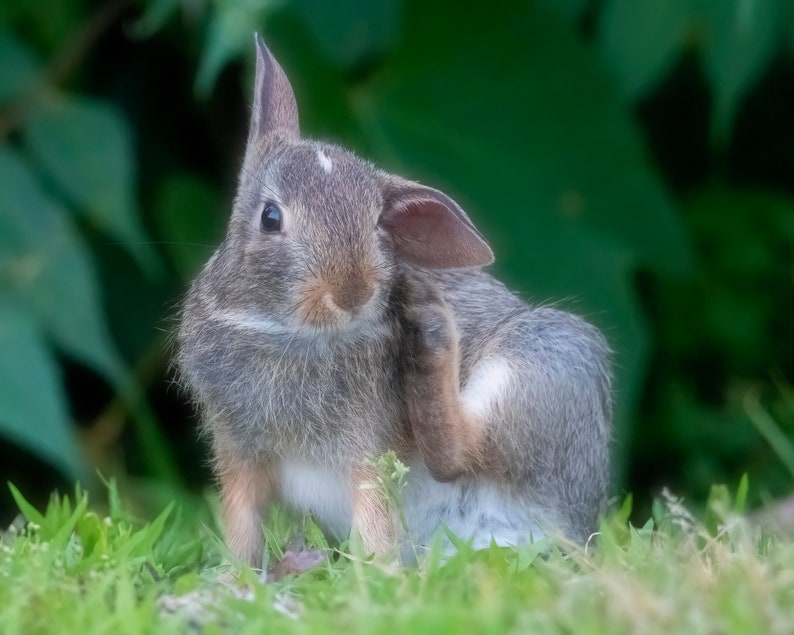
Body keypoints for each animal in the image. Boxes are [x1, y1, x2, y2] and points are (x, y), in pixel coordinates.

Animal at [177, 34, 612, 567]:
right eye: (271, 217)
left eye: (376, 225)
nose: (352, 291)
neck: (291, 335)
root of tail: (565, 529)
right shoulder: (239, 453)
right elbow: (243, 523)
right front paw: (238, 575)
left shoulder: (367, 452)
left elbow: (375, 518)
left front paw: (374, 572)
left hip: (548, 360)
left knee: (461, 454)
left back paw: (430, 329)